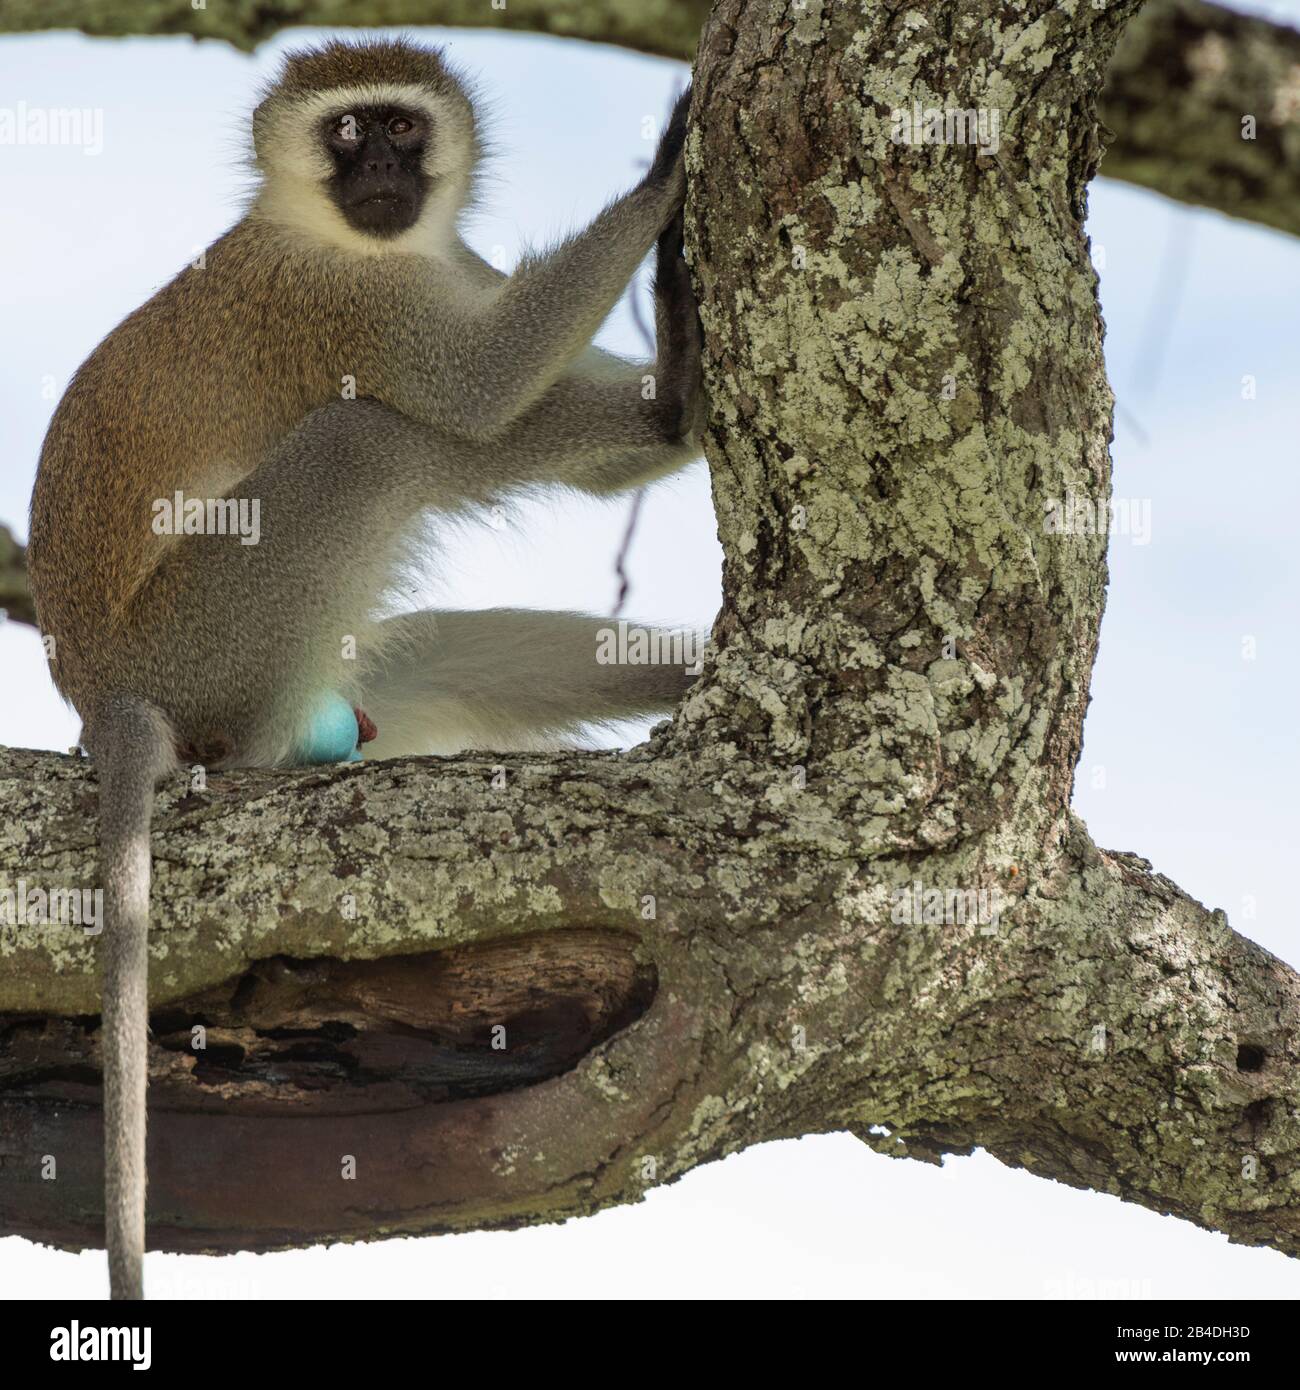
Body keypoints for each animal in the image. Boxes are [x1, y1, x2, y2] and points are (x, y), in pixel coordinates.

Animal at [26, 37, 704, 1299]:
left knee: (433, 641)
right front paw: (667, 169)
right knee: (383, 435)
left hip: (317, 673)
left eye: (401, 127)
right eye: (347, 132)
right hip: (210, 630)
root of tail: (101, 697)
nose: (384, 170)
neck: (342, 237)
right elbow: (478, 387)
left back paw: (686, 669)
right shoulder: (337, 307)